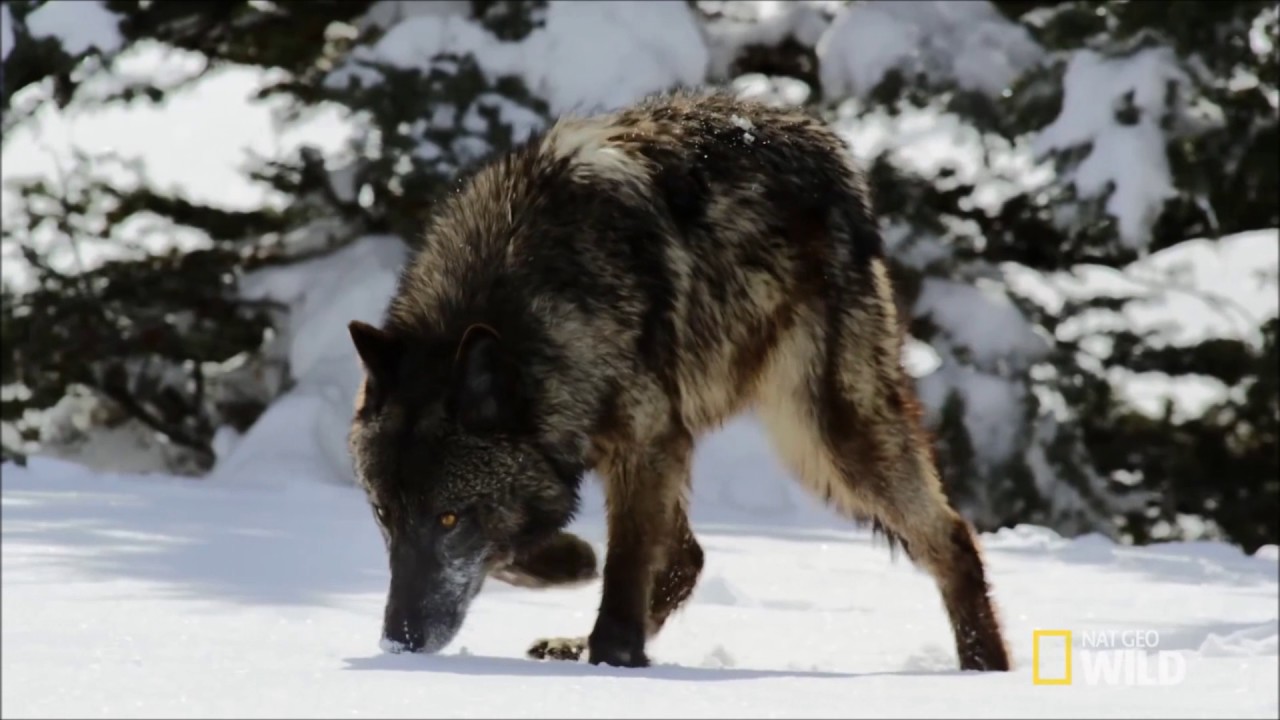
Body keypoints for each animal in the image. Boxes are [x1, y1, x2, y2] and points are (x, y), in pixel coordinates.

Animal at [346, 89, 1012, 672]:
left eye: (448, 519)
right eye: (382, 514)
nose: (399, 641)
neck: (526, 288)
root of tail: (829, 145)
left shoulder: (646, 443)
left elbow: (622, 571)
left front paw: (614, 657)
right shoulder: (624, 446)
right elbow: (542, 540)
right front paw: (570, 567)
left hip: (828, 442)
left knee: (952, 538)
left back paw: (985, 671)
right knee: (689, 557)